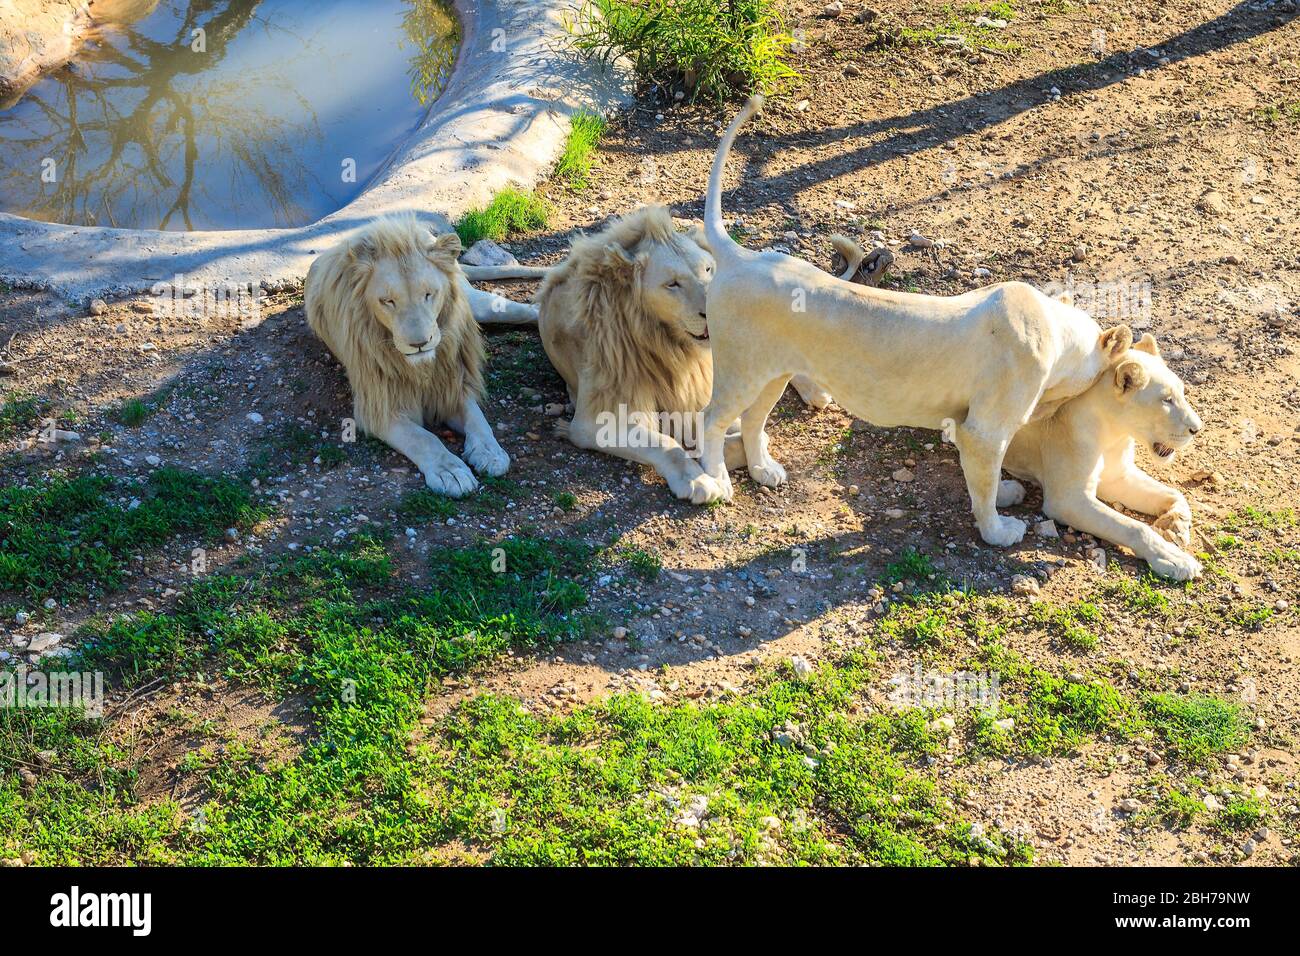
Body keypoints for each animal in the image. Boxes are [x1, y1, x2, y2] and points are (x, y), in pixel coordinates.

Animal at [304, 215, 510, 497]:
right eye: (388, 301)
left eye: (429, 294)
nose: (420, 344)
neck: (421, 367)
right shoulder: (378, 407)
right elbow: (423, 438)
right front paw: (450, 471)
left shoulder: (451, 383)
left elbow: (476, 417)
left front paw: (490, 452)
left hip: (479, 305)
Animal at [692, 95, 1137, 550]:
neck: (1056, 332)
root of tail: (740, 256)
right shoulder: (984, 430)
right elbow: (985, 481)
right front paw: (998, 531)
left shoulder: (963, 421)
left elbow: (985, 477)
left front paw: (1006, 494)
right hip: (741, 369)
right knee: (711, 419)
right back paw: (719, 482)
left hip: (772, 372)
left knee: (752, 419)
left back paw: (765, 471)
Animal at [998, 334, 1205, 580]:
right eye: (1166, 400)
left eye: (1182, 393)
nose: (1197, 429)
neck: (1113, 434)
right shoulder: (1067, 500)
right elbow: (1133, 527)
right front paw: (1173, 558)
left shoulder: (1118, 478)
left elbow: (1176, 493)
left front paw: (1176, 525)